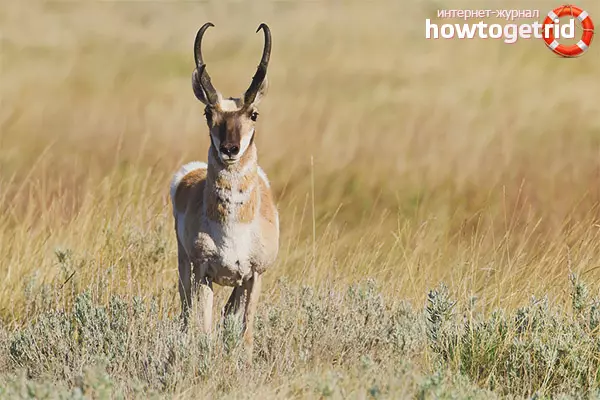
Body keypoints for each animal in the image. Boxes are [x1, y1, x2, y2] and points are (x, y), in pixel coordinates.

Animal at [169, 23, 278, 358]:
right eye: (208, 113)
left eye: (253, 113)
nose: (230, 149)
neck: (233, 230)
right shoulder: (204, 273)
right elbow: (204, 332)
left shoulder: (254, 276)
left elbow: (246, 334)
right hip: (184, 267)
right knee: (185, 314)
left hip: (236, 285)